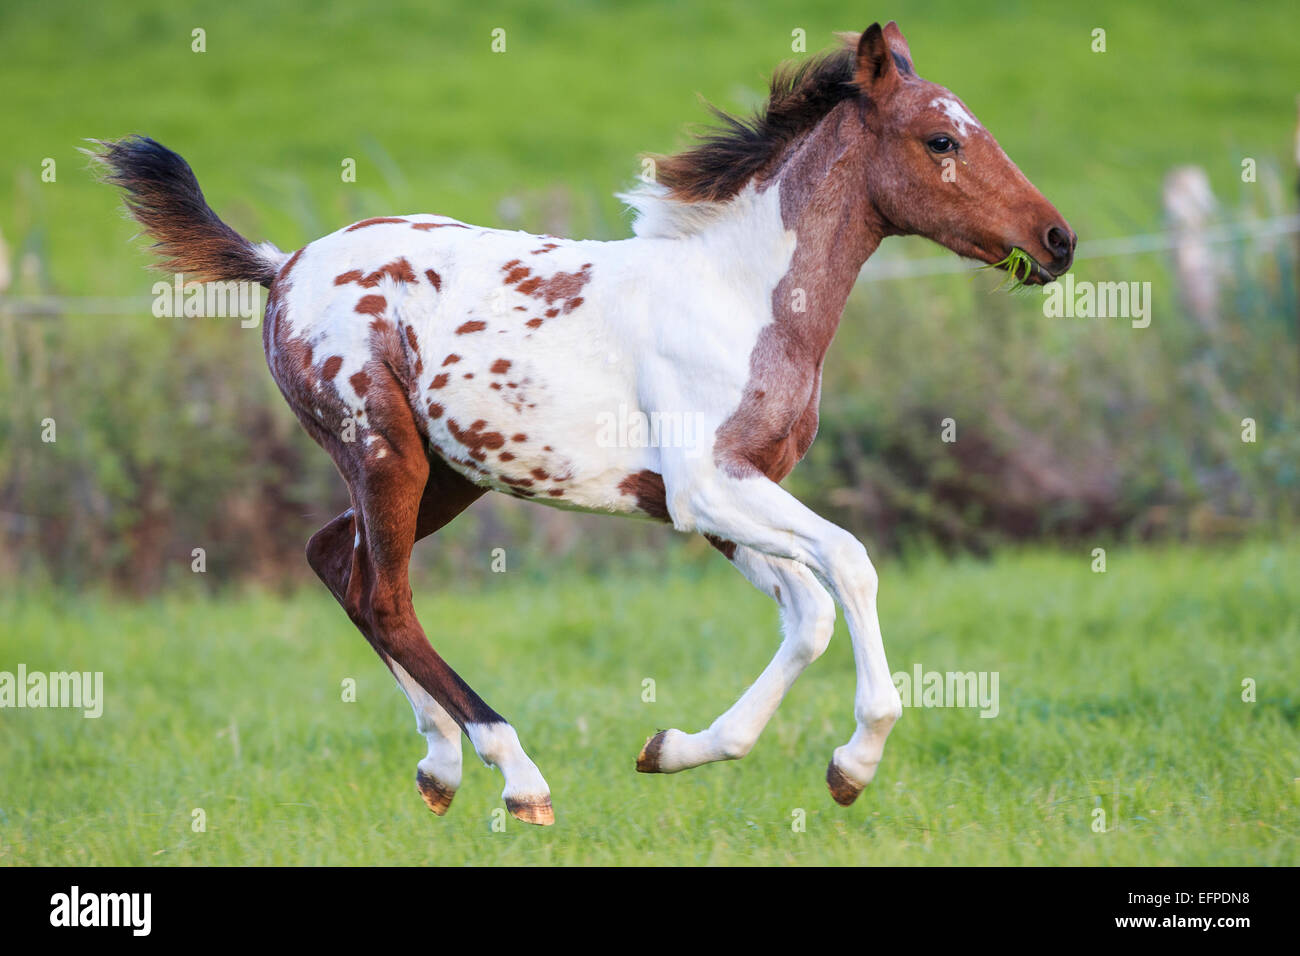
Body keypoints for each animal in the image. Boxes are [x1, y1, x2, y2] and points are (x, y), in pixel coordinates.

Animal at [93, 21, 1074, 826]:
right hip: (383, 451)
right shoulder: (709, 488)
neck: (741, 296)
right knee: (386, 596)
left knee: (338, 562)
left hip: (450, 475)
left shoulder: (713, 497)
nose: (1059, 240)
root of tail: (284, 265)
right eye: (941, 139)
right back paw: (516, 775)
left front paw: (675, 750)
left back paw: (441, 768)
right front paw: (855, 764)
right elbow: (850, 565)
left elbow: (807, 615)